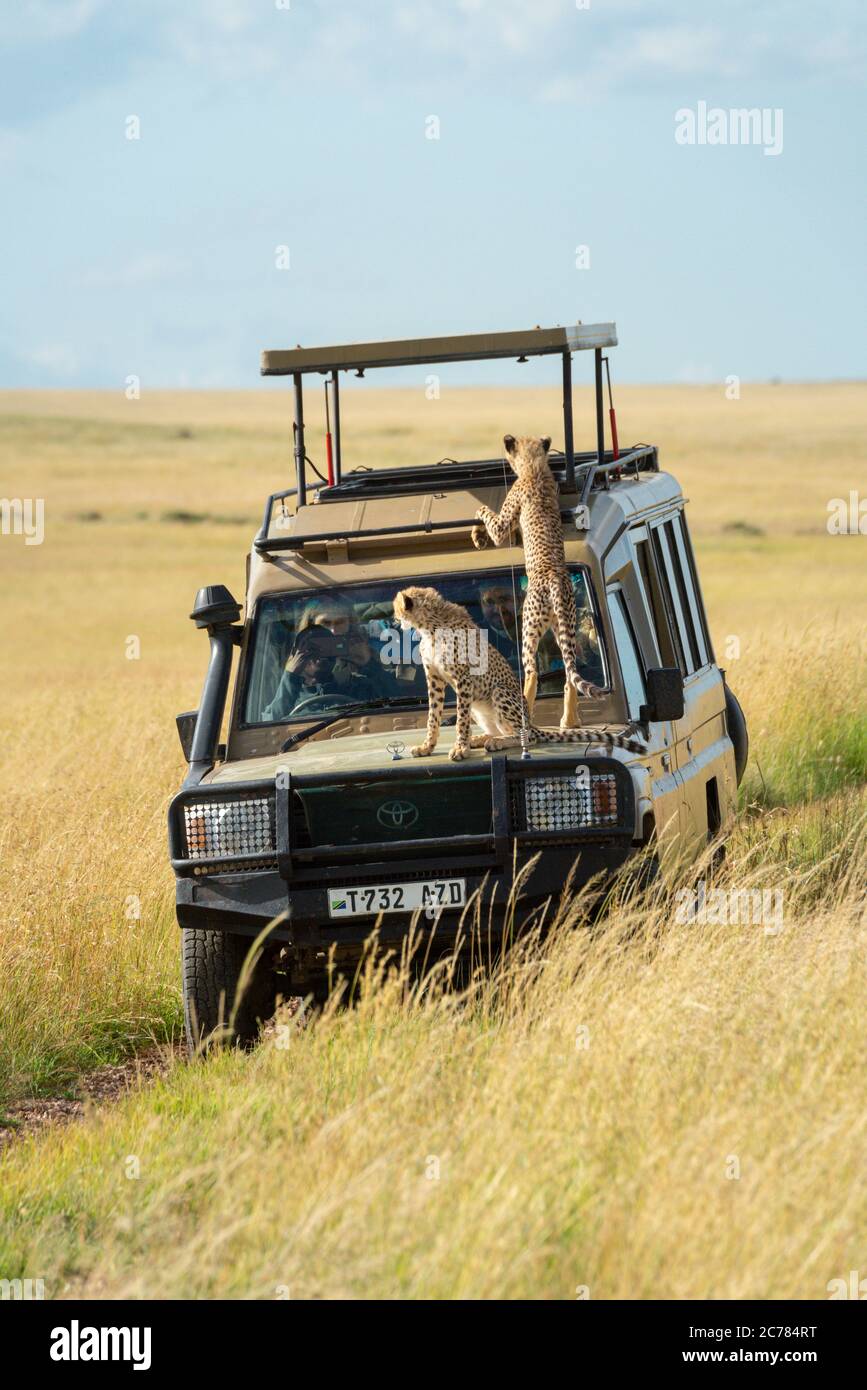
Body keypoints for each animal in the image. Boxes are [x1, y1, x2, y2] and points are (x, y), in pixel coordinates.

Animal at [393, 586, 644, 761]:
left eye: (397, 612)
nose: (396, 623)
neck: (429, 625)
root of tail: (533, 723)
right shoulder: (435, 679)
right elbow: (433, 716)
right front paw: (428, 746)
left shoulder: (463, 680)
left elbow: (460, 720)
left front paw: (460, 748)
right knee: (504, 730)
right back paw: (483, 738)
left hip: (500, 692)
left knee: (528, 737)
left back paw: (496, 742)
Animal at [472, 432, 601, 730]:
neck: (536, 467)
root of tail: (554, 577)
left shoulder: (505, 523)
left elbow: (491, 519)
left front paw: (477, 521)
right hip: (564, 625)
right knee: (569, 672)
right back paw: (569, 720)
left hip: (530, 626)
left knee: (531, 672)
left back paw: (526, 715)